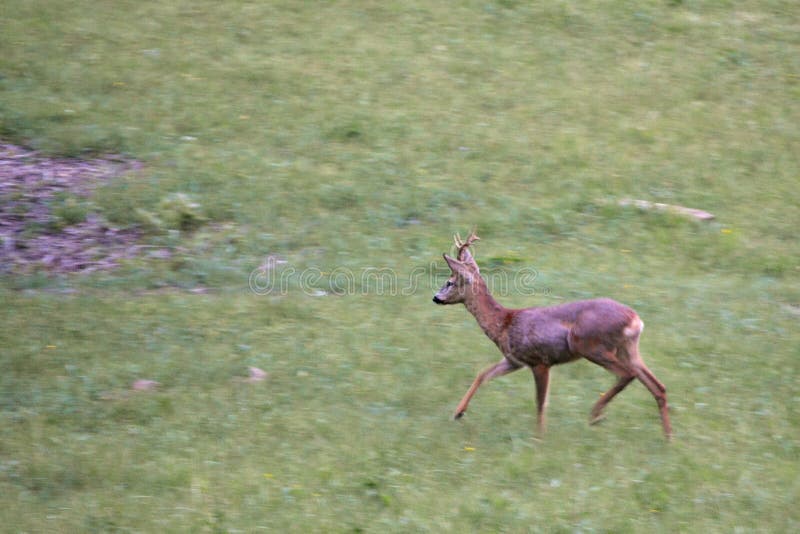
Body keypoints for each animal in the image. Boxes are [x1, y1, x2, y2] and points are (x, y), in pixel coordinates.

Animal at [432, 230, 672, 440]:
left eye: (449, 282)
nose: (435, 297)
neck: (504, 324)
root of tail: (635, 320)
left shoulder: (540, 360)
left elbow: (541, 402)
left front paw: (539, 438)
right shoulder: (514, 360)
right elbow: (482, 374)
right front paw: (458, 412)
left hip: (591, 345)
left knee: (626, 375)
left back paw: (595, 415)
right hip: (627, 348)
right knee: (657, 386)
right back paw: (668, 438)